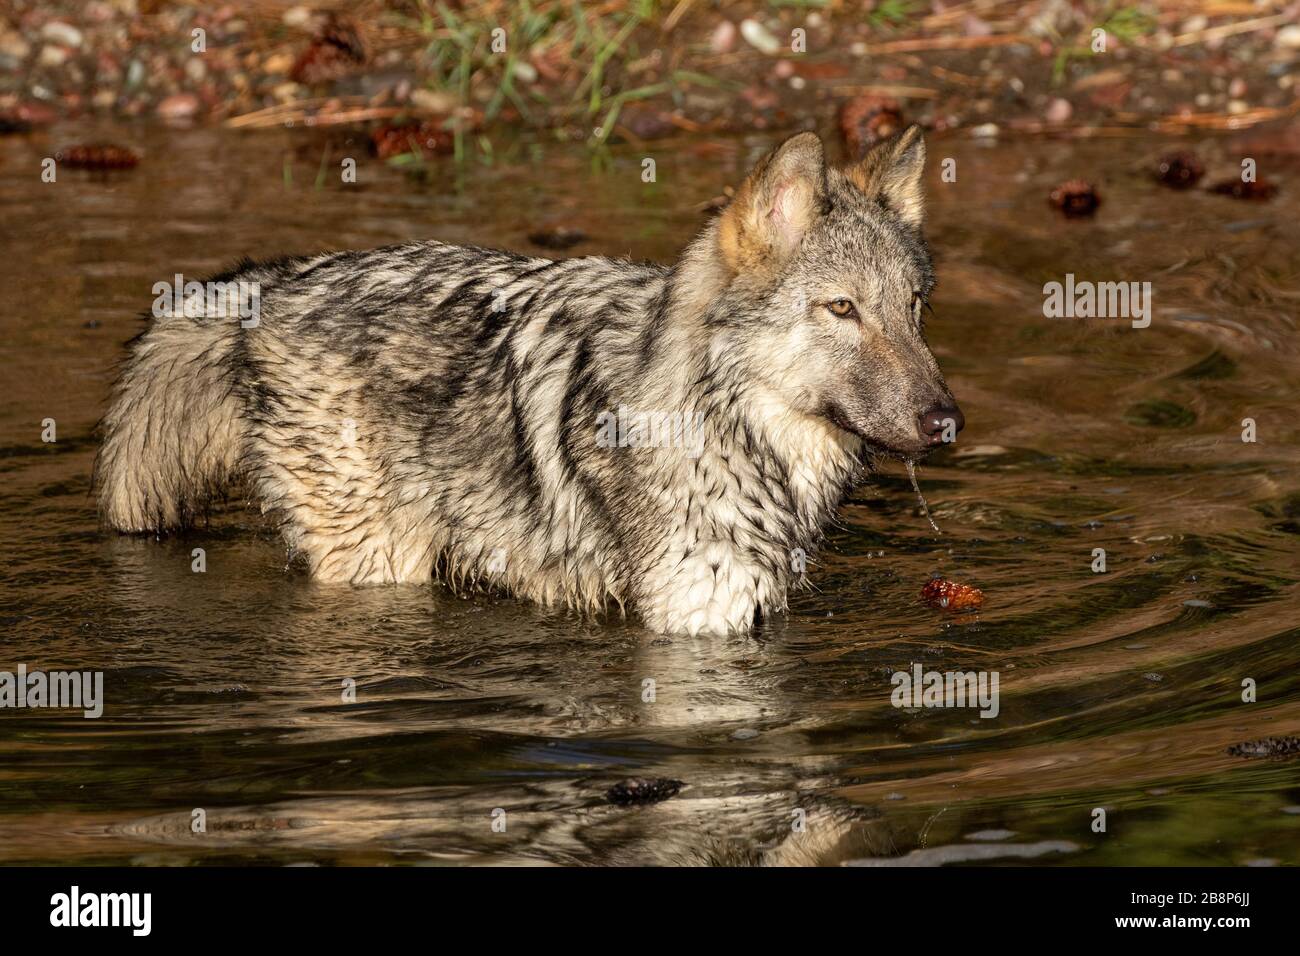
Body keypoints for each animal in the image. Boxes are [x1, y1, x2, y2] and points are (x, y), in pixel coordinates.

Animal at [96, 126, 962, 636]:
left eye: (915, 306)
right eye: (843, 308)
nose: (945, 421)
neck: (727, 424)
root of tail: (273, 286)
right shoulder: (694, 616)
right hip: (378, 560)